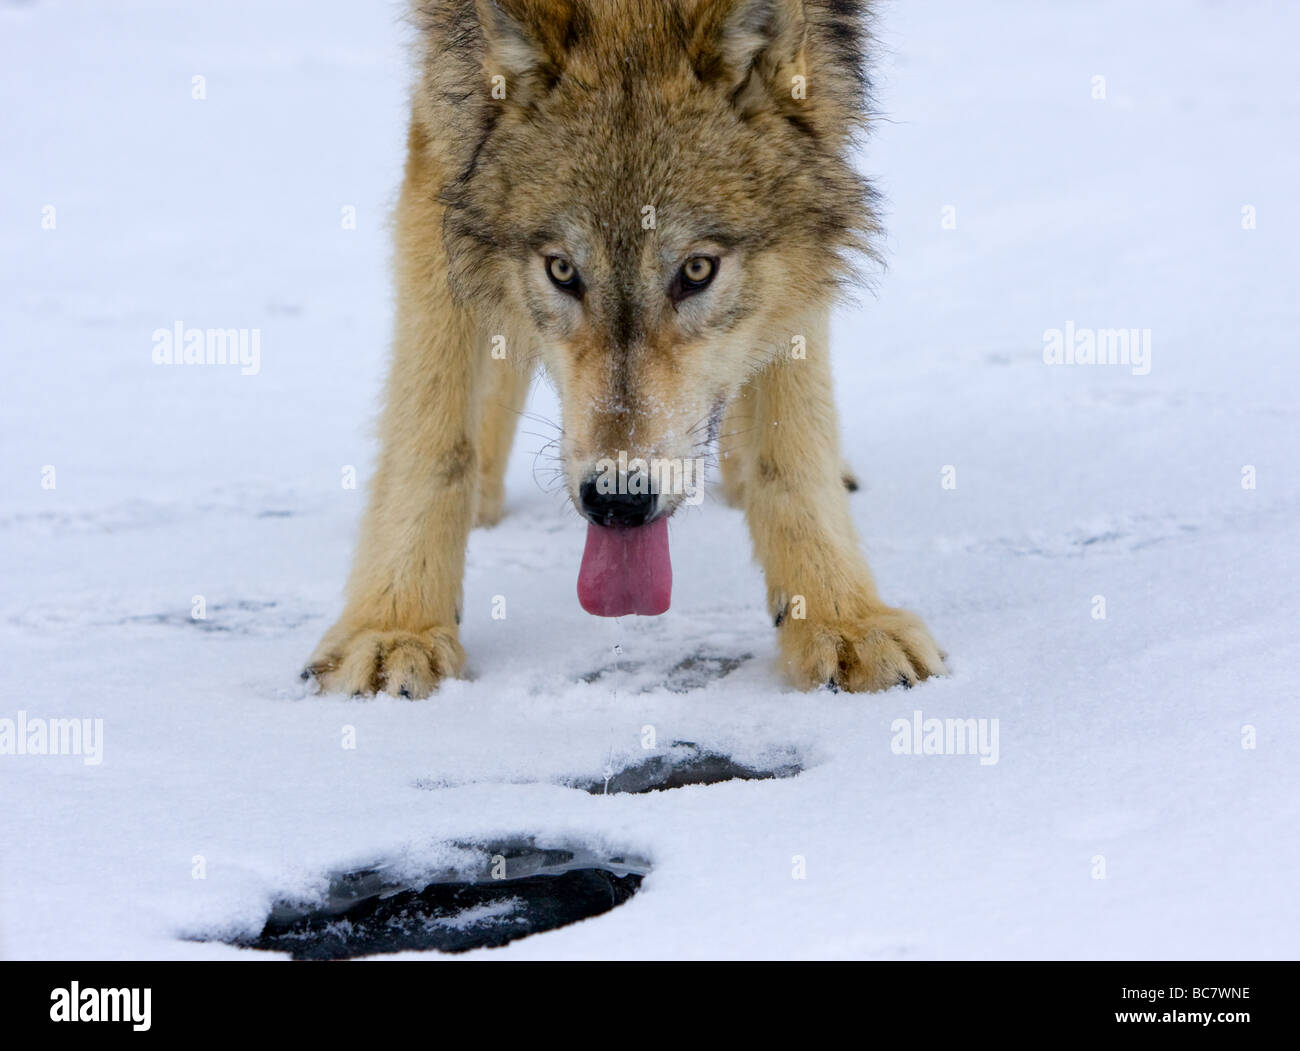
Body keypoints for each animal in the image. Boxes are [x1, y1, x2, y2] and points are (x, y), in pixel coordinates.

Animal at [305, 0, 946, 697]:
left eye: (696, 271)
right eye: (562, 271)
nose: (617, 500)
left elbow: (792, 443)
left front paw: (842, 621)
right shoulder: (443, 129)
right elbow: (434, 429)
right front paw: (396, 628)